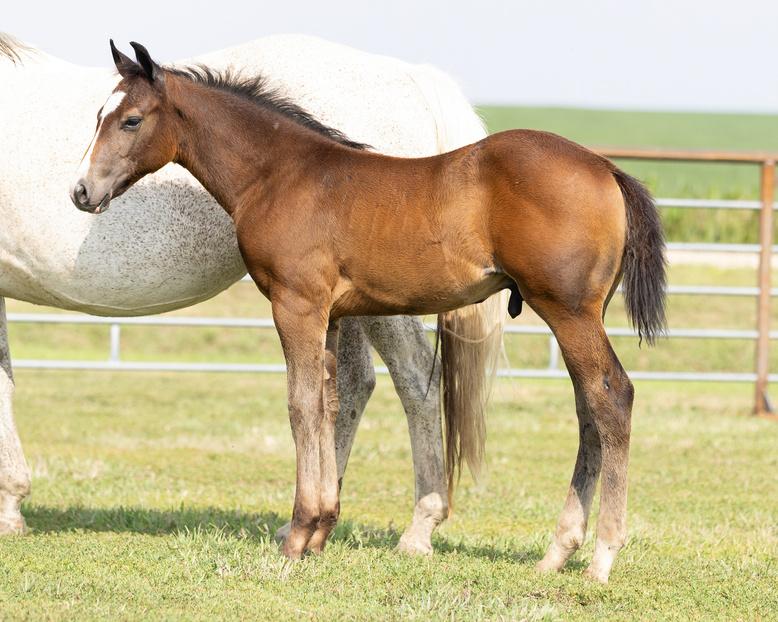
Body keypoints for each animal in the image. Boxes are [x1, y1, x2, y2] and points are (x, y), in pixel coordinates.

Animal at [0, 32, 505, 555]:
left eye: (131, 120)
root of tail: (413, 76)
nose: (81, 191)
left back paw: (415, 527)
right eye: (97, 115)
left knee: (414, 380)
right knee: (353, 387)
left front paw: (10, 507)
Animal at [76, 41, 666, 583]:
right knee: (588, 409)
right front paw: (319, 531)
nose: (81, 191)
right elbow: (329, 404)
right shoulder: (331, 315)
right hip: (578, 315)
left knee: (611, 398)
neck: (280, 175)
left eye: (131, 119)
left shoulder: (296, 305)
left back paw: (601, 556)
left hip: (568, 311)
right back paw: (557, 552)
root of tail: (607, 169)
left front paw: (298, 535)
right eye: (99, 114)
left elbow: (300, 405)